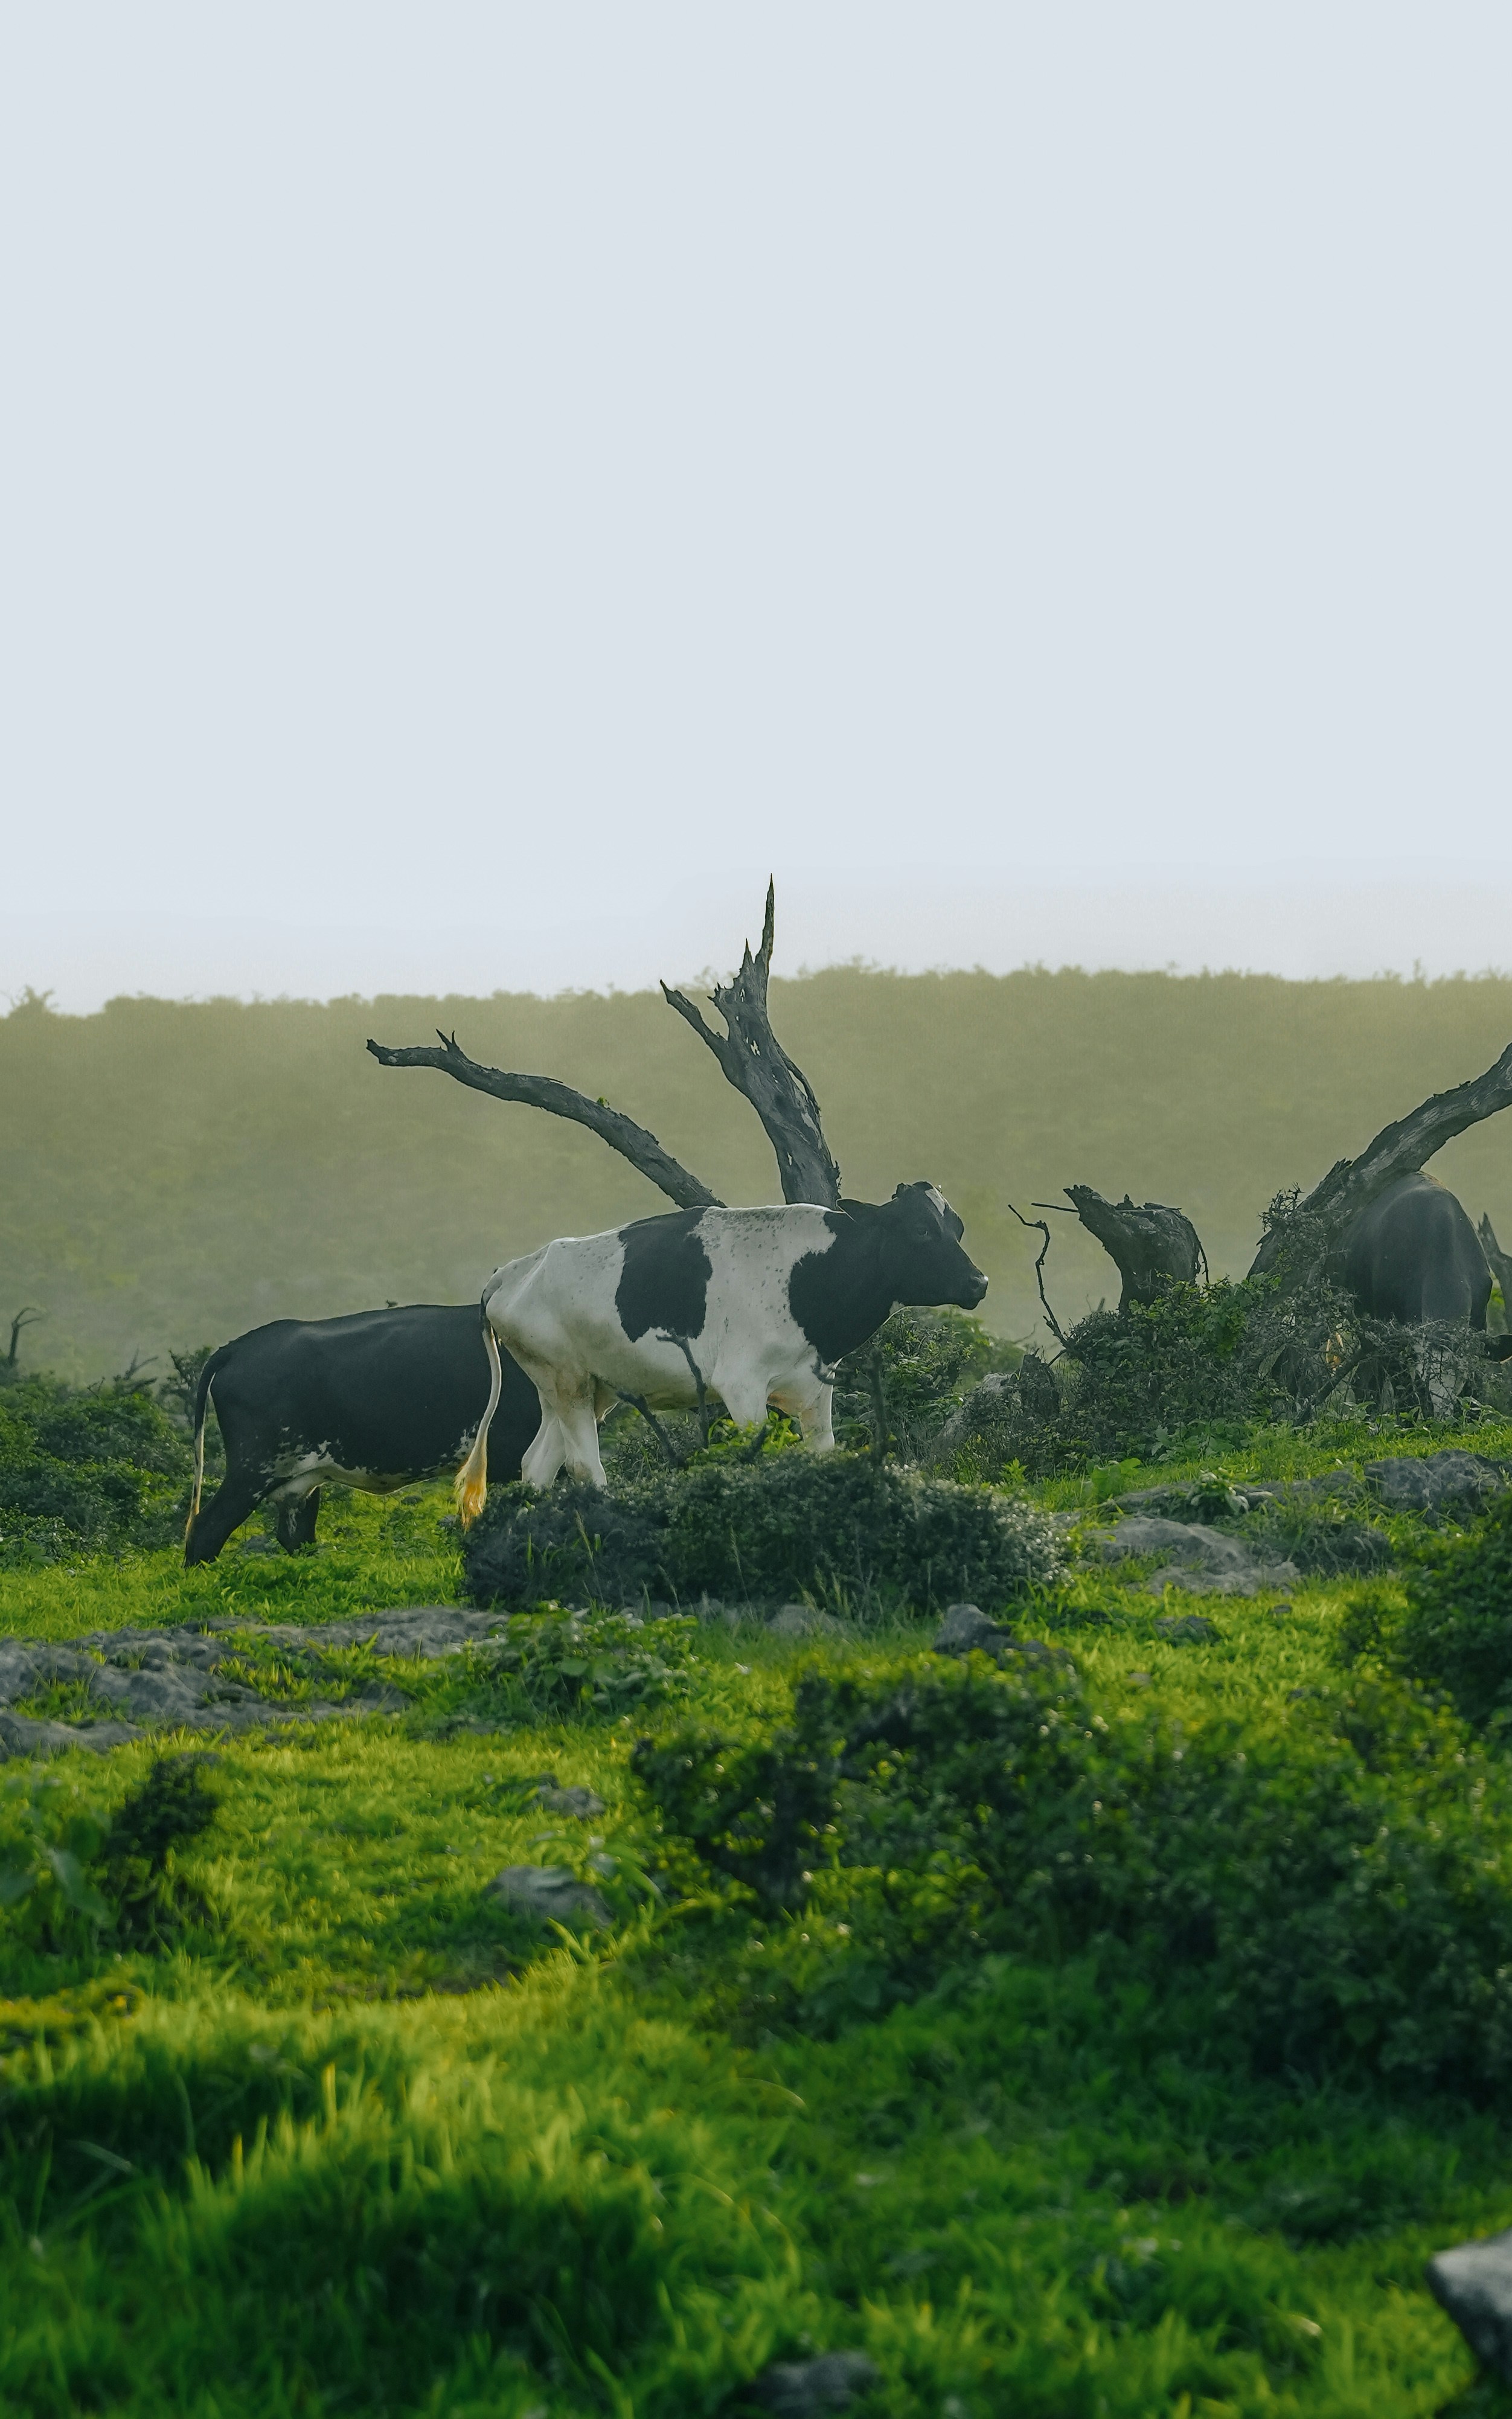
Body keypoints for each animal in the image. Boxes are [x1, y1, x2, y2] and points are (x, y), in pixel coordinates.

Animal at [456, 1183, 988, 1511]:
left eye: (958, 1228)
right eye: (921, 1229)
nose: (978, 1282)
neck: (809, 1275)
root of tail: (516, 1269)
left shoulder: (816, 1389)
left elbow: (822, 1454)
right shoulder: (741, 1384)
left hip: (586, 1387)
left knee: (539, 1462)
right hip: (565, 1378)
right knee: (584, 1464)